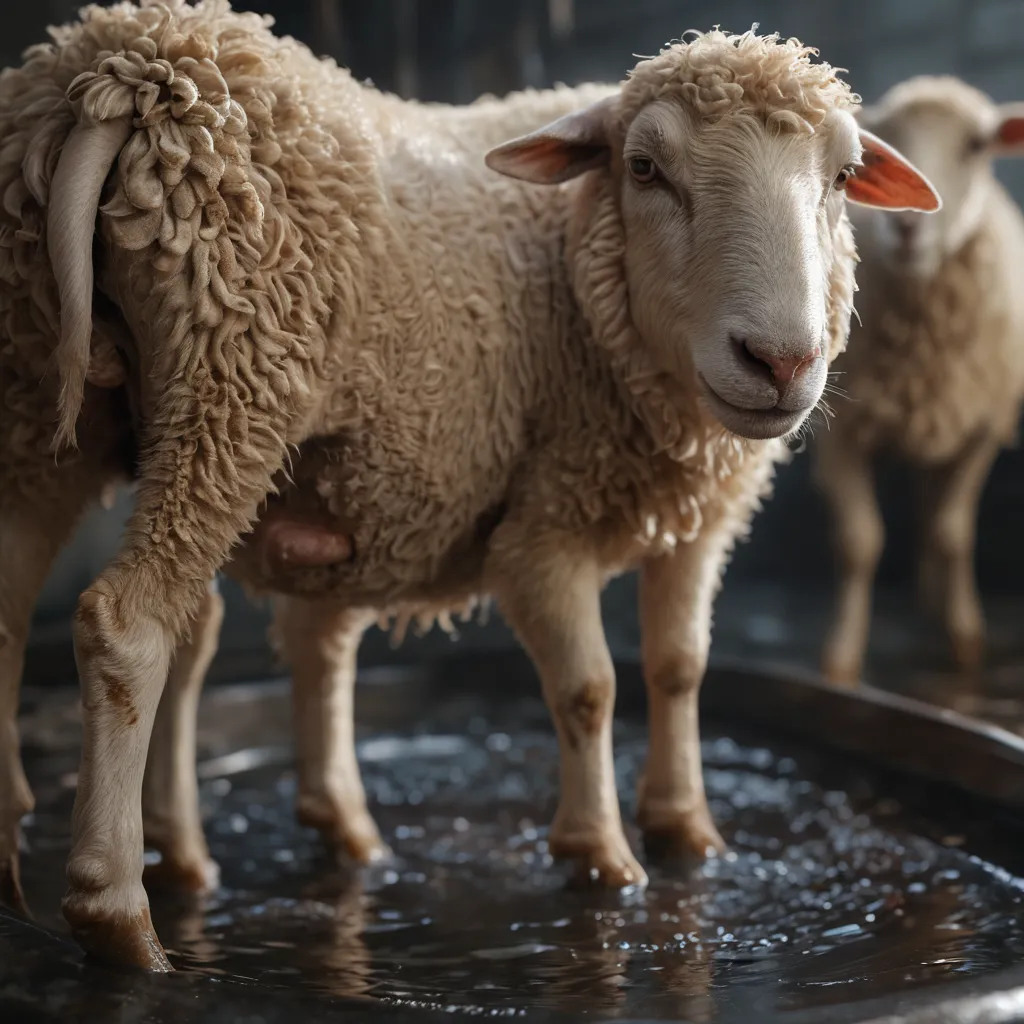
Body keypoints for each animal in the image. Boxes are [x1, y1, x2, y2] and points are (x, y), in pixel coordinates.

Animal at [0, 0, 938, 970]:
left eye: (844, 175)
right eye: (644, 169)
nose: (782, 362)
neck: (577, 272)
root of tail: (122, 77)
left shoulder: (697, 519)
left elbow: (680, 669)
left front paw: (689, 833)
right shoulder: (544, 526)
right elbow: (590, 688)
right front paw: (603, 859)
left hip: (40, 388)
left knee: (40, 610)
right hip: (232, 375)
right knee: (131, 623)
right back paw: (120, 913)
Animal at [814, 75, 1024, 687]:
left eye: (976, 146)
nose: (908, 224)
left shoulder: (982, 427)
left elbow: (952, 533)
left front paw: (965, 641)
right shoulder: (840, 430)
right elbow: (859, 544)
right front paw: (841, 659)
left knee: (935, 516)